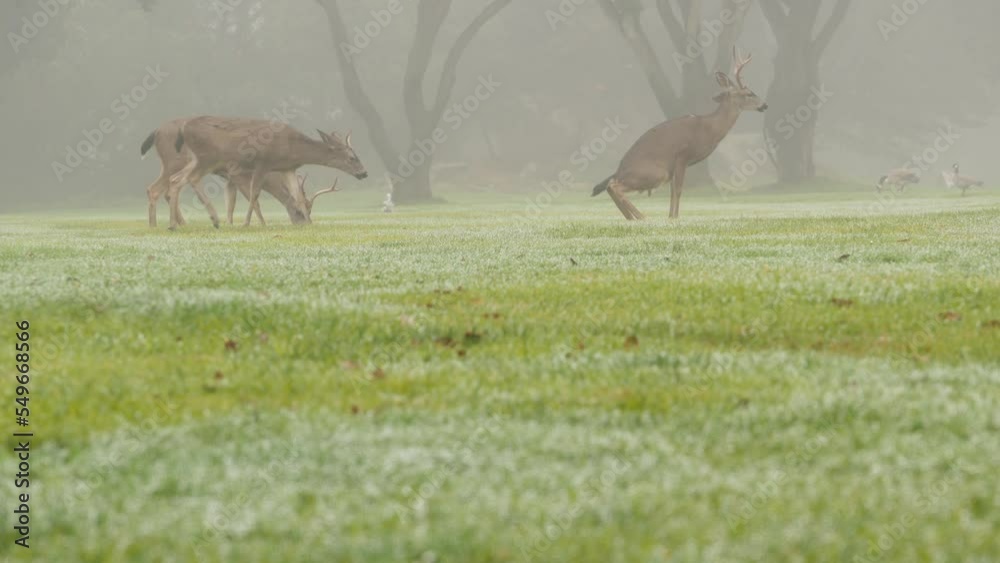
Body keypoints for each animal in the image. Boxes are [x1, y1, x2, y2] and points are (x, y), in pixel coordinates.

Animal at [141, 119, 334, 227]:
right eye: (303, 209)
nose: (302, 223)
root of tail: (156, 132)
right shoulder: (239, 174)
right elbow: (254, 200)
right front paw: (260, 223)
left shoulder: (229, 179)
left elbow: (230, 202)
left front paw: (230, 223)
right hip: (175, 161)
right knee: (158, 188)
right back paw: (158, 224)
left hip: (171, 163)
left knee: (162, 189)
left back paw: (172, 223)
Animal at [169, 116, 368, 229]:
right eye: (352, 157)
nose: (364, 173)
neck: (292, 147)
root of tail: (183, 129)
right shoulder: (262, 163)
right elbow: (254, 195)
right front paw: (249, 223)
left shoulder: (288, 168)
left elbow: (297, 196)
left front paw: (309, 223)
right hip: (208, 157)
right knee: (191, 178)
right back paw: (214, 220)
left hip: (196, 159)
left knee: (176, 179)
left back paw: (173, 225)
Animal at [592, 48, 767, 219]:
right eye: (749, 93)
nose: (765, 105)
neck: (710, 128)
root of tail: (619, 171)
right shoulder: (682, 155)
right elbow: (678, 189)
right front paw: (675, 217)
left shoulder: (673, 167)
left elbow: (672, 192)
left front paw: (670, 216)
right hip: (657, 172)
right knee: (613, 185)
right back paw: (642, 217)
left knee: (609, 186)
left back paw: (631, 217)